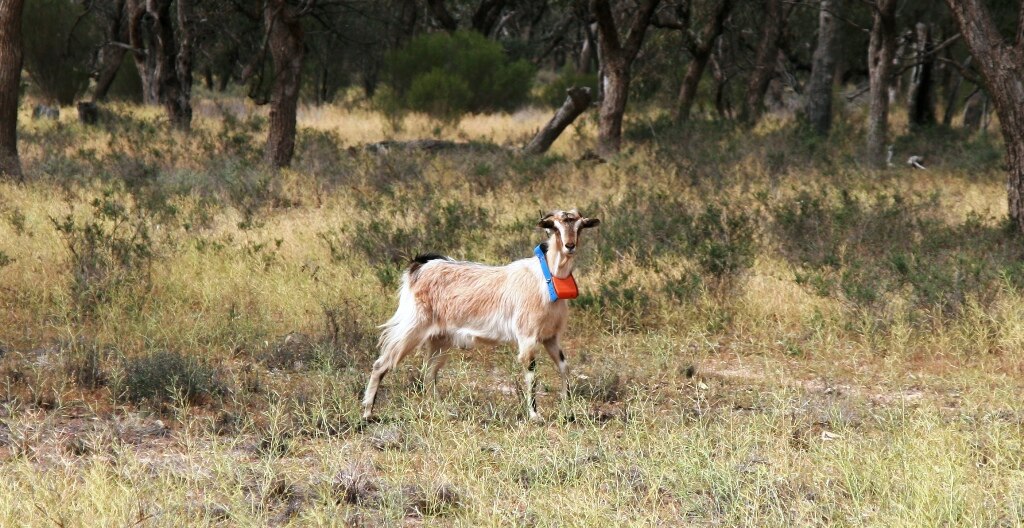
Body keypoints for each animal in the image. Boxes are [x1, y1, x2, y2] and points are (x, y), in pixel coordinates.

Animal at [361, 209, 600, 421]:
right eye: (555, 228)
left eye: (580, 227)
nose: (570, 246)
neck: (546, 277)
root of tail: (418, 267)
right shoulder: (528, 336)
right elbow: (532, 373)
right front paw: (535, 416)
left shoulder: (551, 336)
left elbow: (564, 367)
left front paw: (568, 411)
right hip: (412, 327)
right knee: (381, 364)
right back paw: (367, 413)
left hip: (440, 339)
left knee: (429, 373)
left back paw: (441, 412)